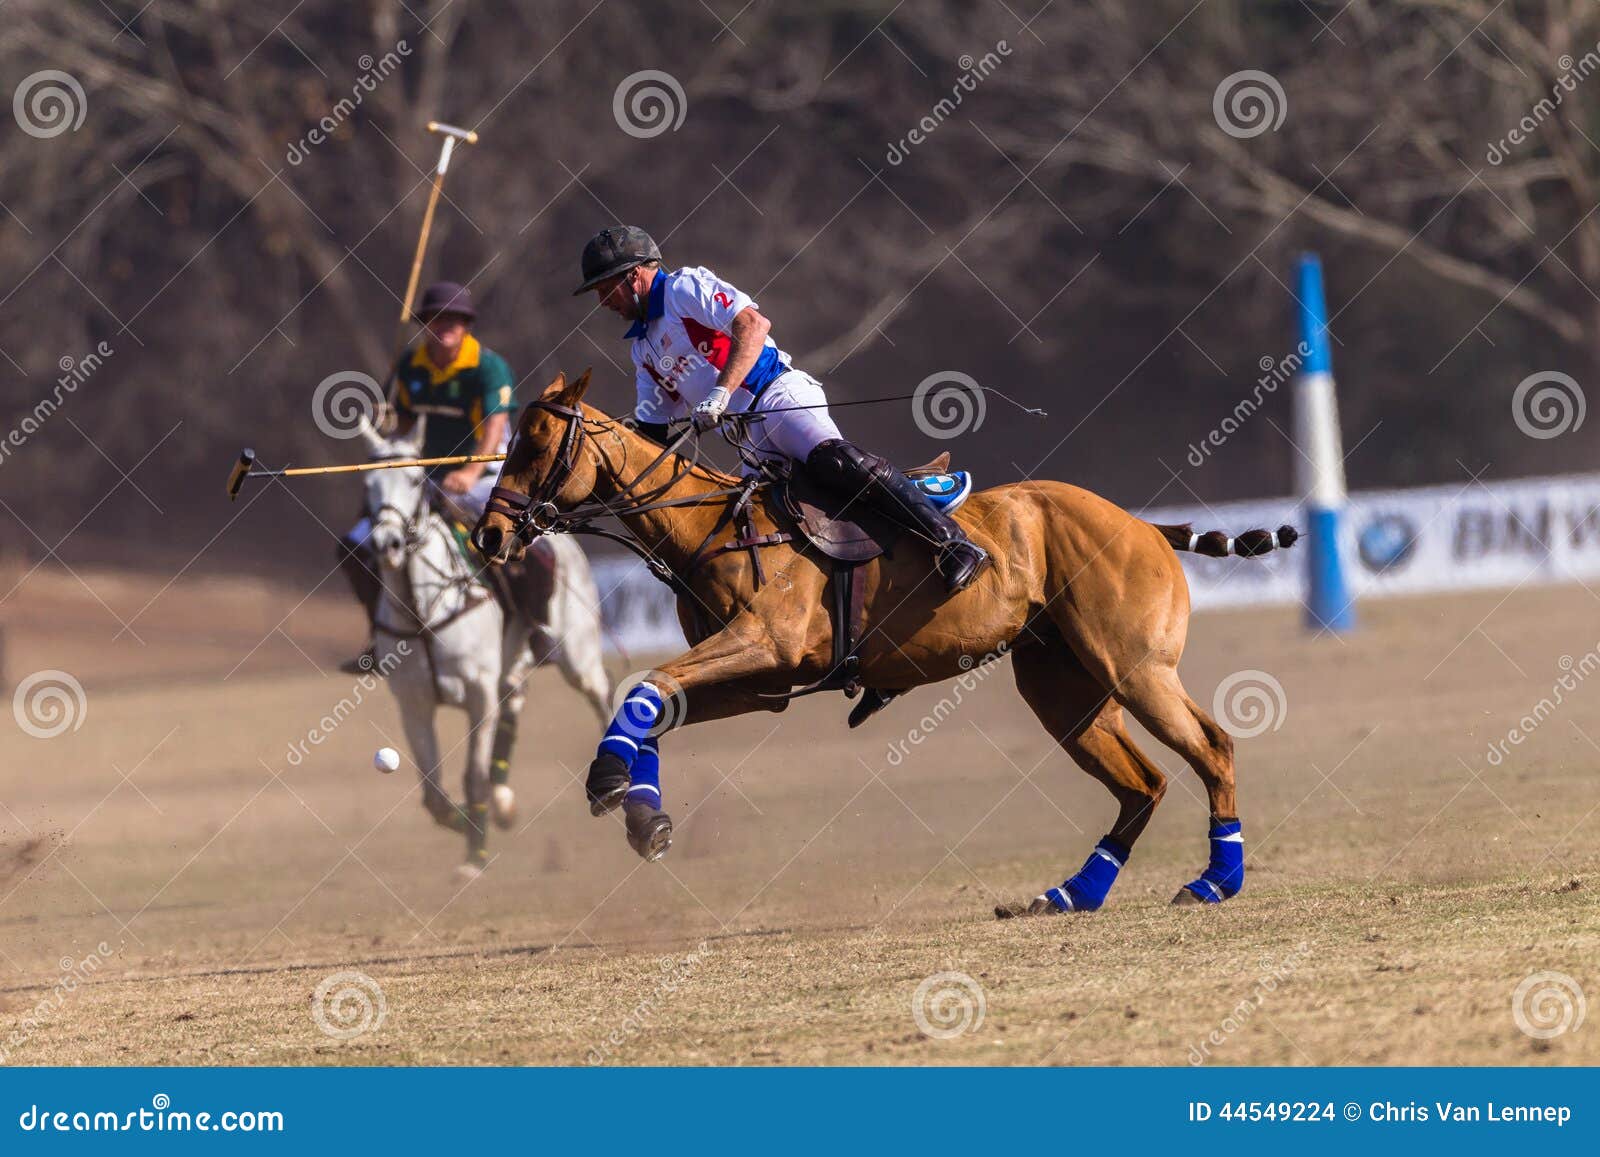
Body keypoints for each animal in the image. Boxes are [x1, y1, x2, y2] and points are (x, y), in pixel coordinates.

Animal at [358, 422, 612, 877]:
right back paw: (502, 802)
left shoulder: (478, 691)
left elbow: (472, 774)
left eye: (414, 480)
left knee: (601, 692)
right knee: (514, 700)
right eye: (367, 484)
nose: (388, 544)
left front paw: (474, 855)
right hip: (512, 662)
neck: (423, 610)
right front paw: (465, 821)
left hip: (577, 653)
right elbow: (432, 793)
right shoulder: (413, 704)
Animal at [470, 372, 1296, 914]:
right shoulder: (761, 683)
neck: (709, 525)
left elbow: (645, 683)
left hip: (1134, 666)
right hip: (1064, 691)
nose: (491, 534)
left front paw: (609, 781)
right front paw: (643, 812)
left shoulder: (763, 643)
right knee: (1142, 783)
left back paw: (1215, 879)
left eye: (536, 442)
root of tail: (1142, 523)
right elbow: (653, 695)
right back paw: (1071, 891)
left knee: (1211, 746)